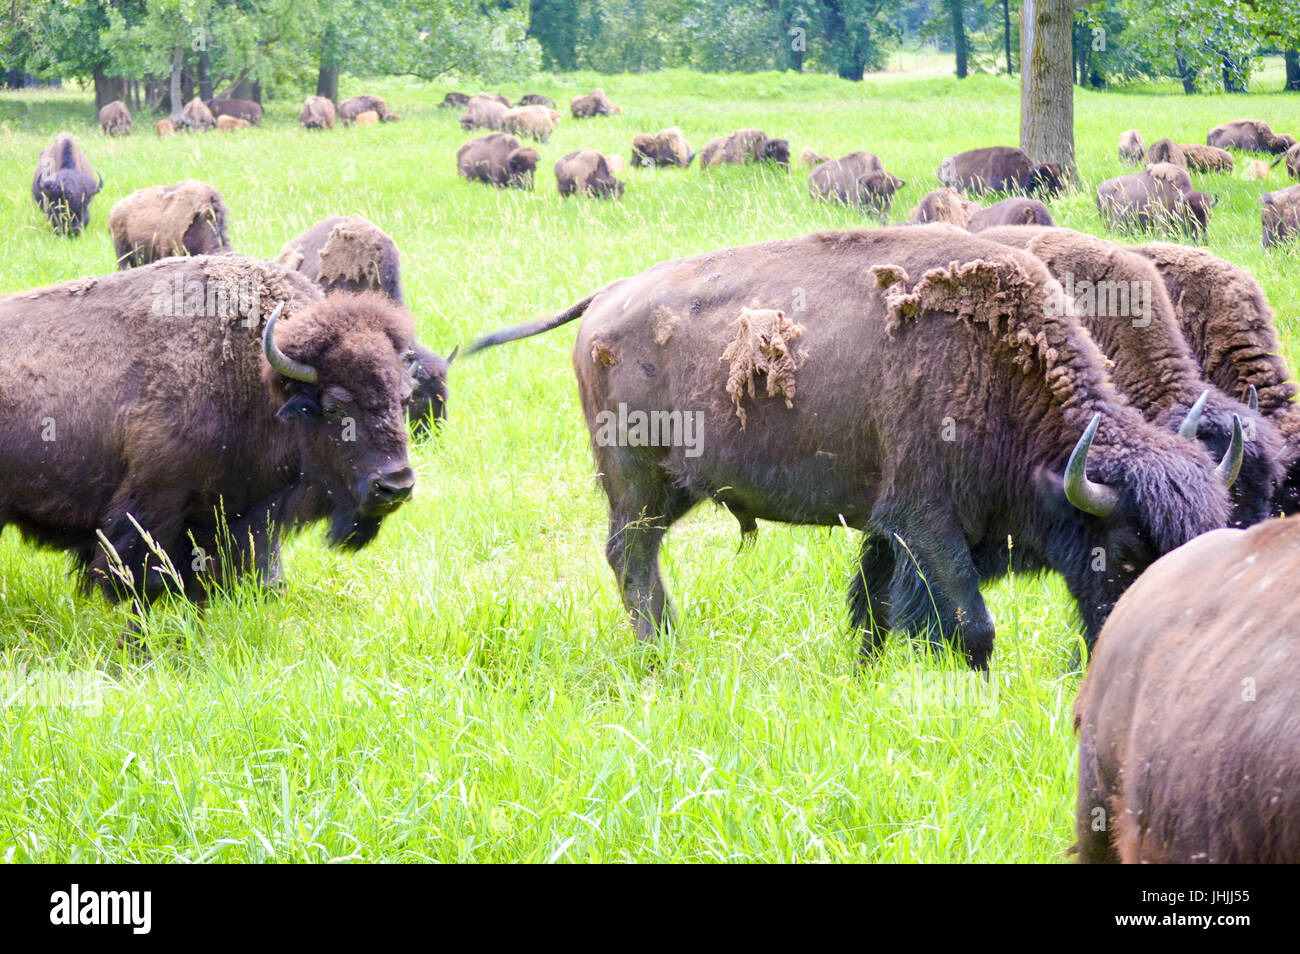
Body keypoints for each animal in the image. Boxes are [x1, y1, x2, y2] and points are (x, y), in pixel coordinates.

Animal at [0, 256, 419, 623]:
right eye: (333, 407)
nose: (395, 486)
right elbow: (144, 586)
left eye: (403, 399)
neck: (254, 382)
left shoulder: (224, 522)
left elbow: (201, 588)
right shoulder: (154, 508)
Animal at [466, 226, 1236, 667]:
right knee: (631, 560)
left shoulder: (892, 530)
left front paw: (867, 674)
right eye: (1126, 547)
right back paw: (662, 656)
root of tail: (605, 299)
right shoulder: (927, 523)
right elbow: (969, 624)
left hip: (667, 489)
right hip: (638, 486)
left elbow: (875, 610)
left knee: (639, 561)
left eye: (1212, 532)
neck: (999, 370)